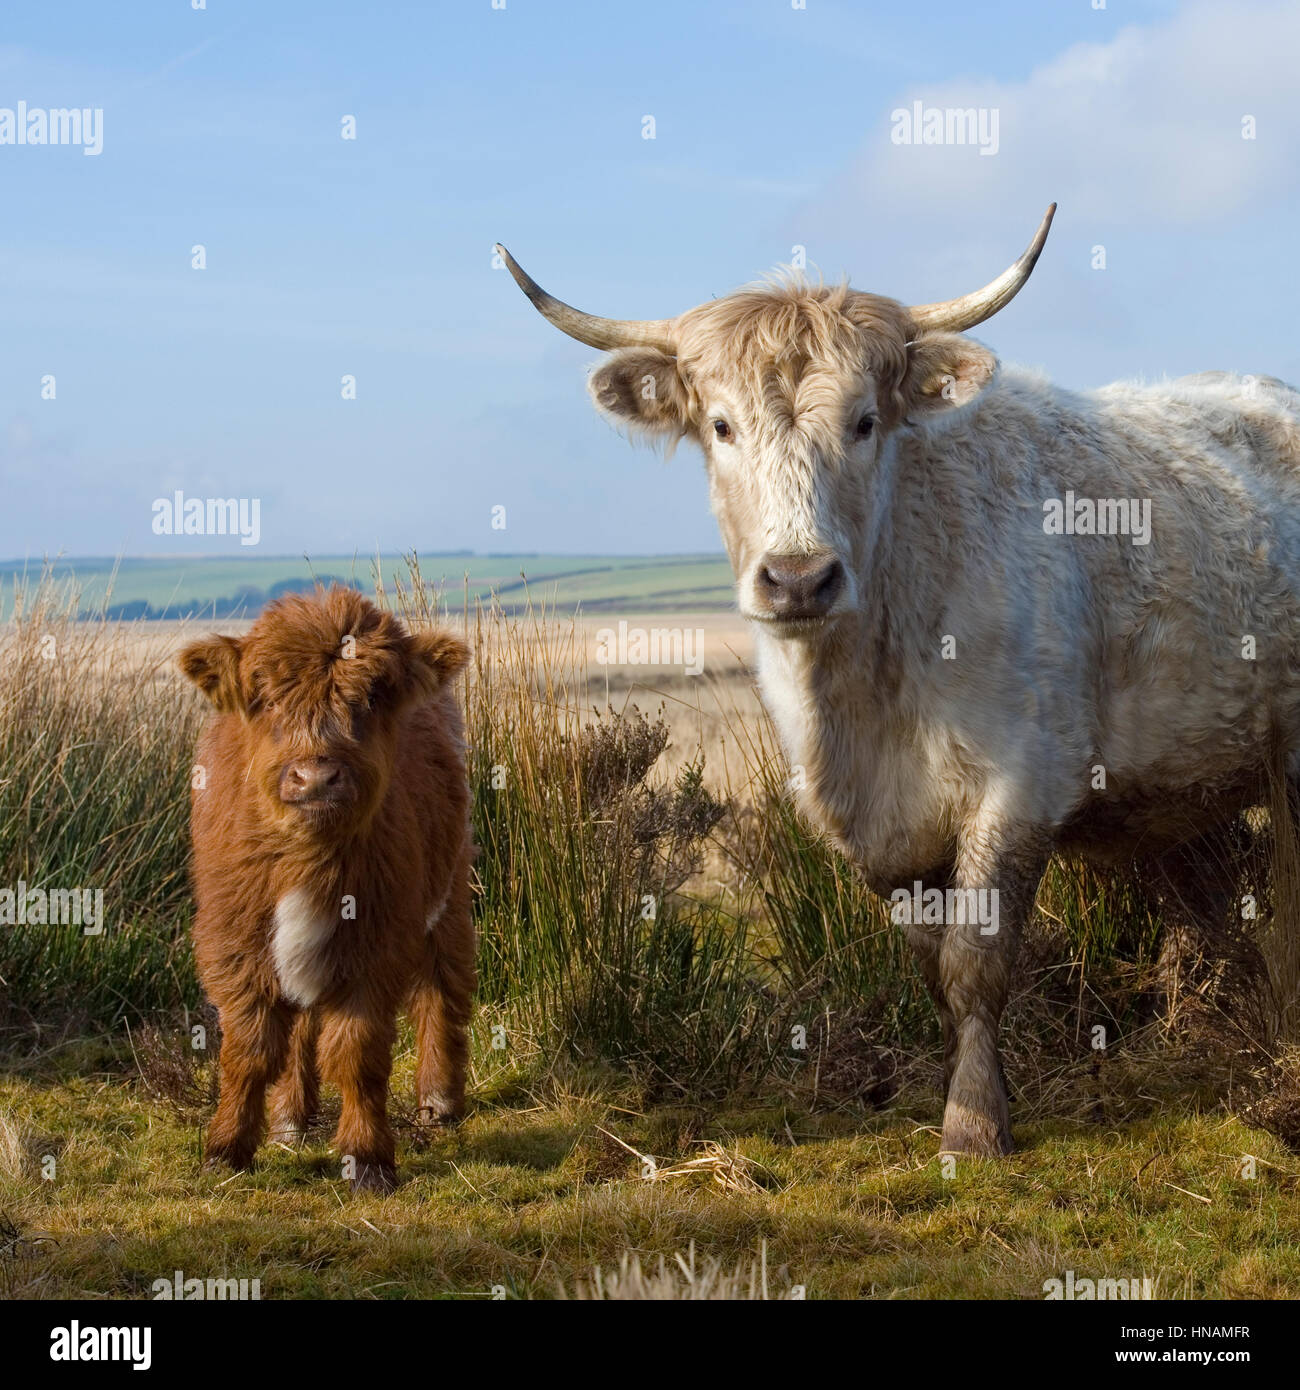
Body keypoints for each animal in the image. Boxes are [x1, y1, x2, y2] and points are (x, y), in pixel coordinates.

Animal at [178, 586, 475, 1192]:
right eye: (264, 697)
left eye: (373, 698)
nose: (315, 778)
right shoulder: (235, 941)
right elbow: (249, 1049)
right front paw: (226, 1147)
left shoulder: (376, 943)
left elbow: (357, 1054)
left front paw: (366, 1158)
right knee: (299, 1024)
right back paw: (290, 1118)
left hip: (450, 892)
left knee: (441, 985)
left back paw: (438, 1099)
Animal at [496, 208, 1300, 1156]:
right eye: (722, 426)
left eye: (866, 421)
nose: (799, 579)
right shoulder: (871, 827)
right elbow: (930, 964)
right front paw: (972, 1088)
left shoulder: (1021, 786)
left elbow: (975, 960)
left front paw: (974, 1123)